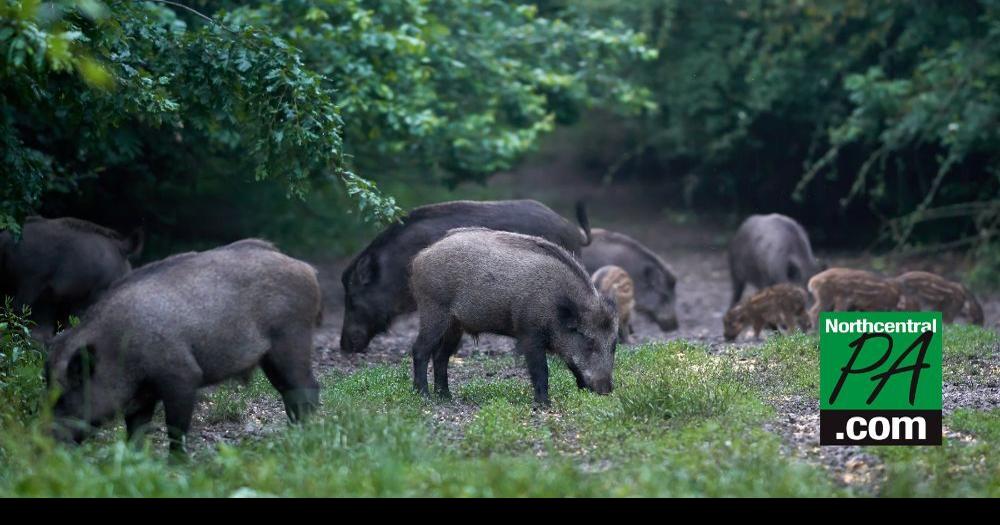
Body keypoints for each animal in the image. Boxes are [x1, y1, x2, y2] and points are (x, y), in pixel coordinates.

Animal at [45, 239, 322, 453]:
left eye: (65, 396)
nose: (45, 443)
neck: (118, 347)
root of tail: (307, 269)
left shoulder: (182, 377)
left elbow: (176, 429)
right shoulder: (142, 397)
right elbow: (135, 431)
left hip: (291, 340)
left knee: (307, 388)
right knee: (290, 392)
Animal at [409, 228, 617, 405]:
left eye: (614, 345)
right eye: (589, 342)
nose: (606, 390)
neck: (557, 304)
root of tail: (420, 257)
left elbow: (573, 366)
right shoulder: (529, 333)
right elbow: (541, 369)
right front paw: (544, 404)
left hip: (455, 327)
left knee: (440, 357)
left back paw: (446, 397)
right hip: (433, 312)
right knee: (420, 350)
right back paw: (424, 396)